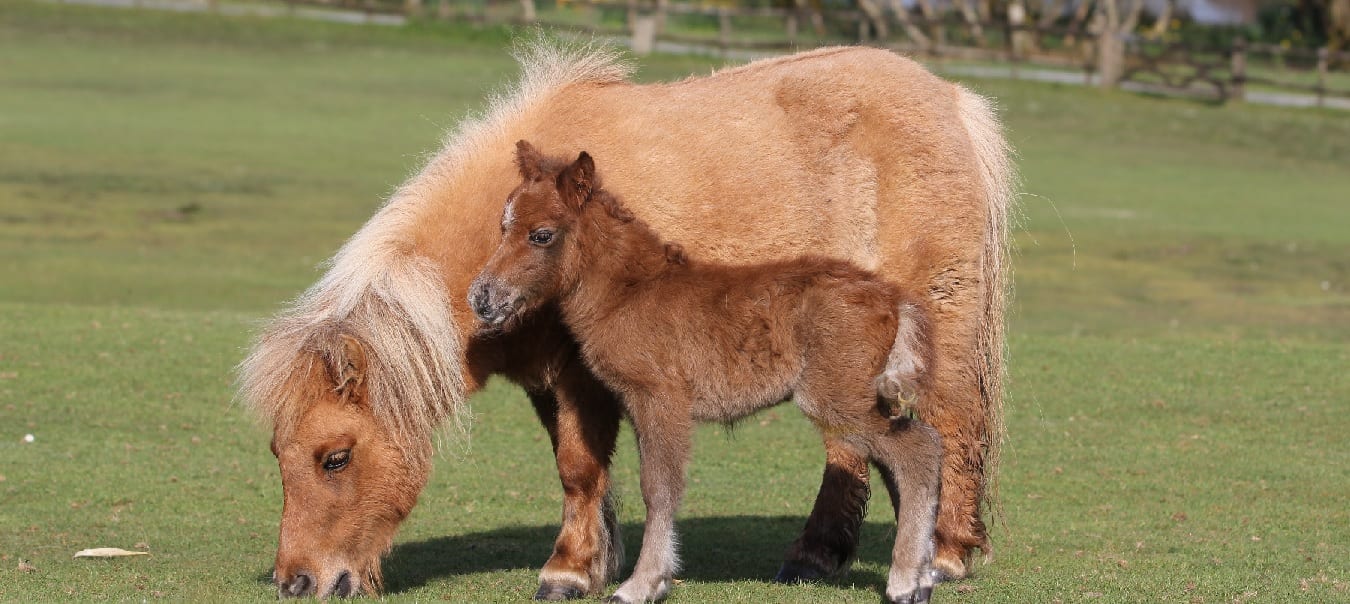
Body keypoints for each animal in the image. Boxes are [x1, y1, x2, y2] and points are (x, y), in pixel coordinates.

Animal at [469, 141, 944, 604]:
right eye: (503, 227)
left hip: (836, 396)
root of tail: (894, 297)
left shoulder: (660, 398)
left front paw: (641, 586)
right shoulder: (639, 404)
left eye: (541, 235)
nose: (482, 297)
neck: (629, 293)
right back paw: (921, 577)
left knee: (919, 449)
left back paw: (905, 583)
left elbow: (659, 487)